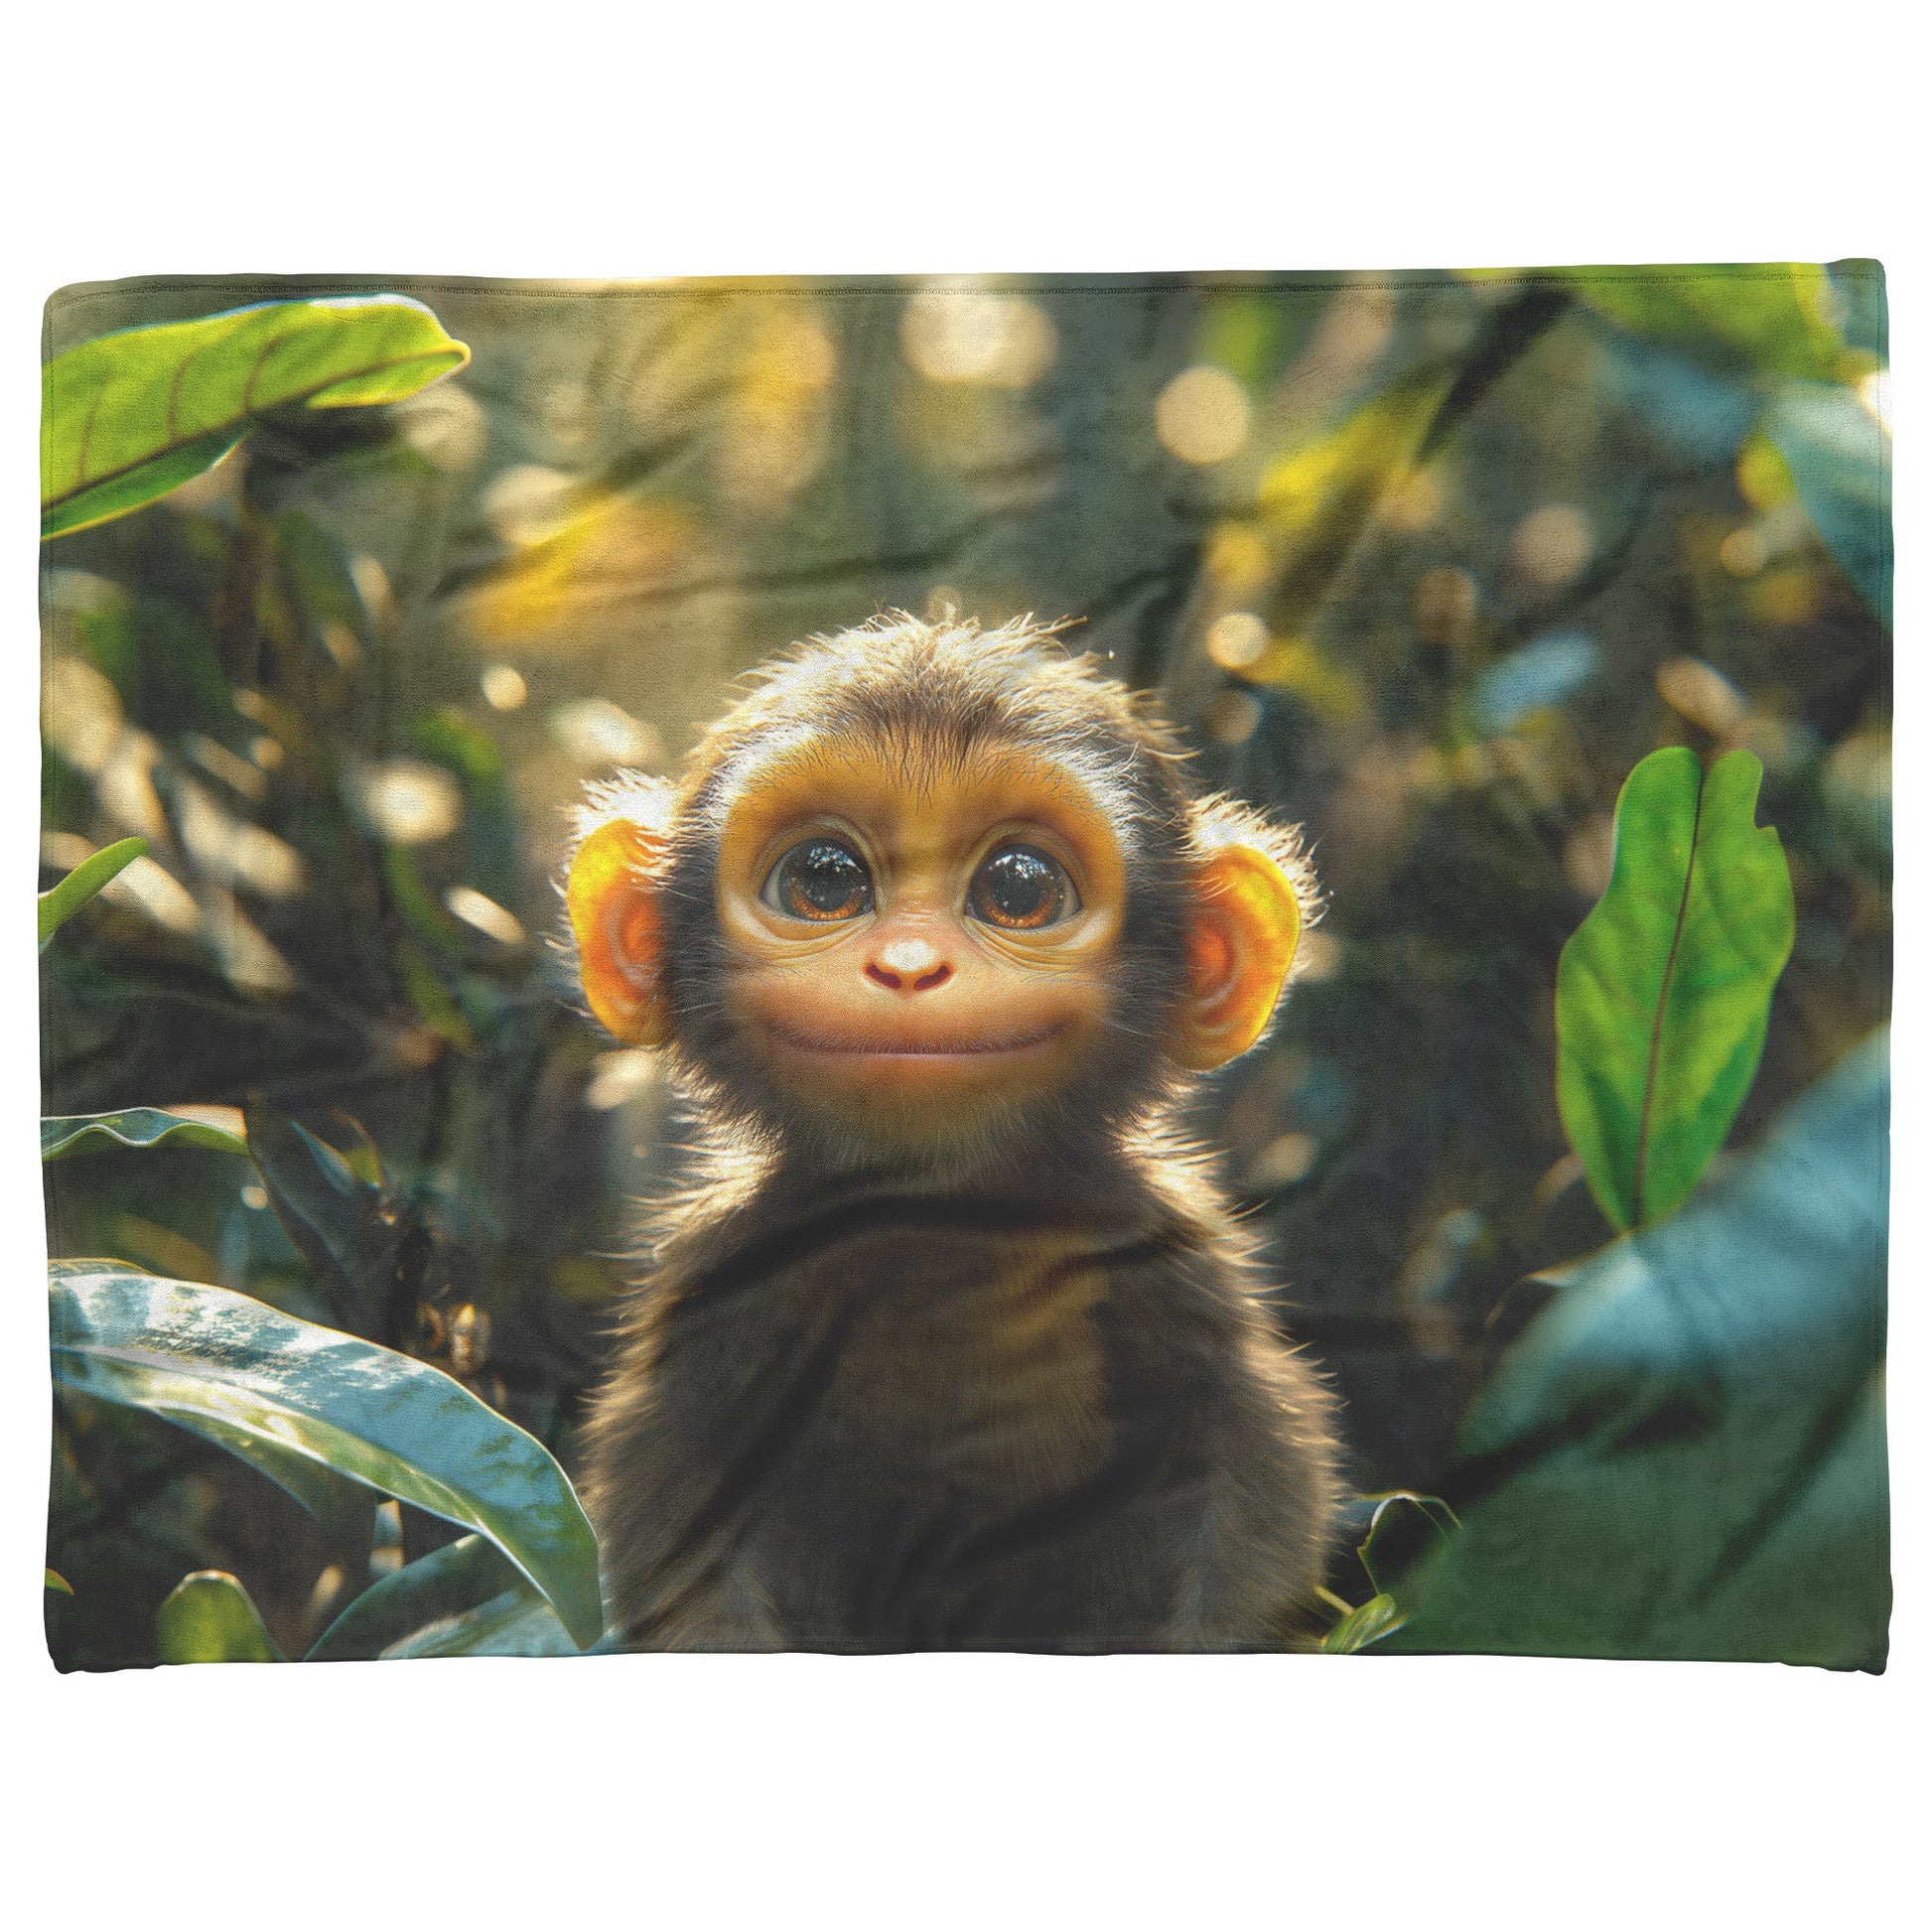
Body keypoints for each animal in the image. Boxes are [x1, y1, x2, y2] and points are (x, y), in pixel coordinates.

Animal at [564, 612, 1343, 1652]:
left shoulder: (1167, 1261)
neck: (940, 1227)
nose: (908, 965)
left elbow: (1251, 1487)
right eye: (824, 881)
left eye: (1018, 889)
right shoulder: (723, 1280)